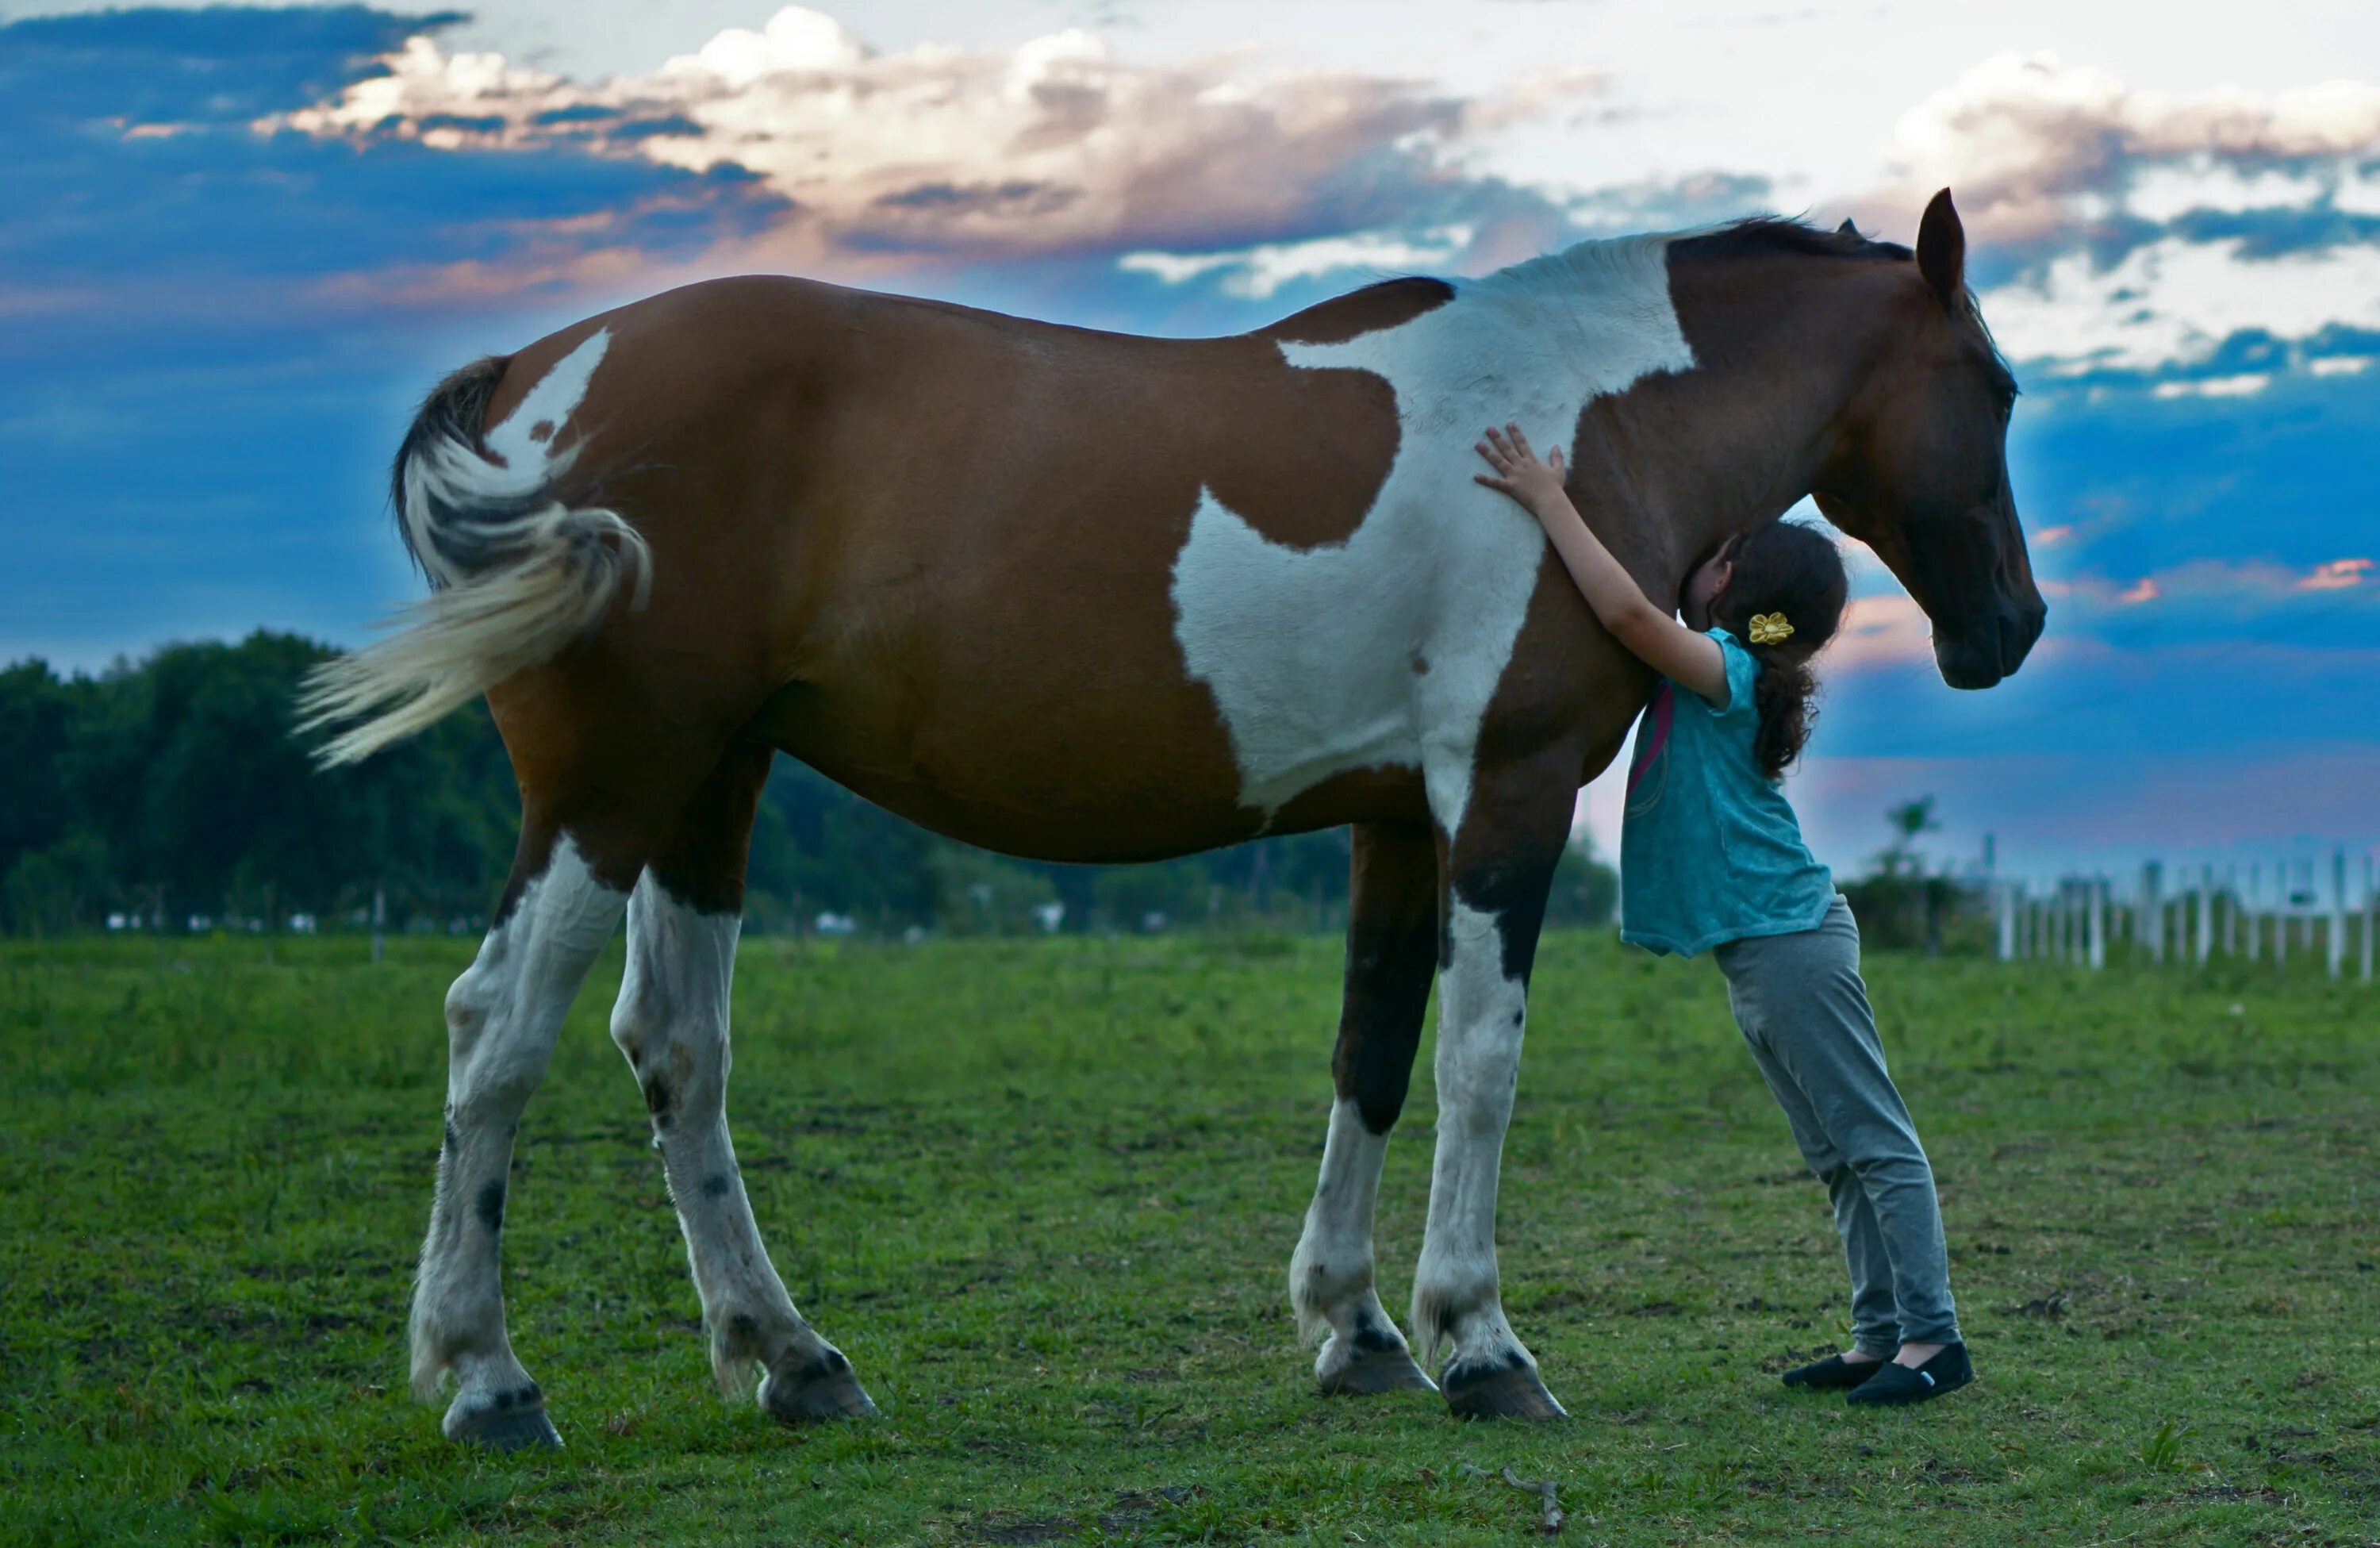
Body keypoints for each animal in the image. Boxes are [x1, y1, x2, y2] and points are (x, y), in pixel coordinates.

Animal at [302, 186, 2047, 1438]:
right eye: (2002, 385)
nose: (2011, 628)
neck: (1580, 422)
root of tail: (541, 377)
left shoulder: (1396, 818)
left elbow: (1375, 1054)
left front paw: (1356, 1332)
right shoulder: (1507, 790)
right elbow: (1481, 1066)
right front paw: (1480, 1342)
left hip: (708, 786)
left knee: (674, 1050)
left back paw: (793, 1361)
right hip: (614, 784)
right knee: (498, 1029)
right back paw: (487, 1379)